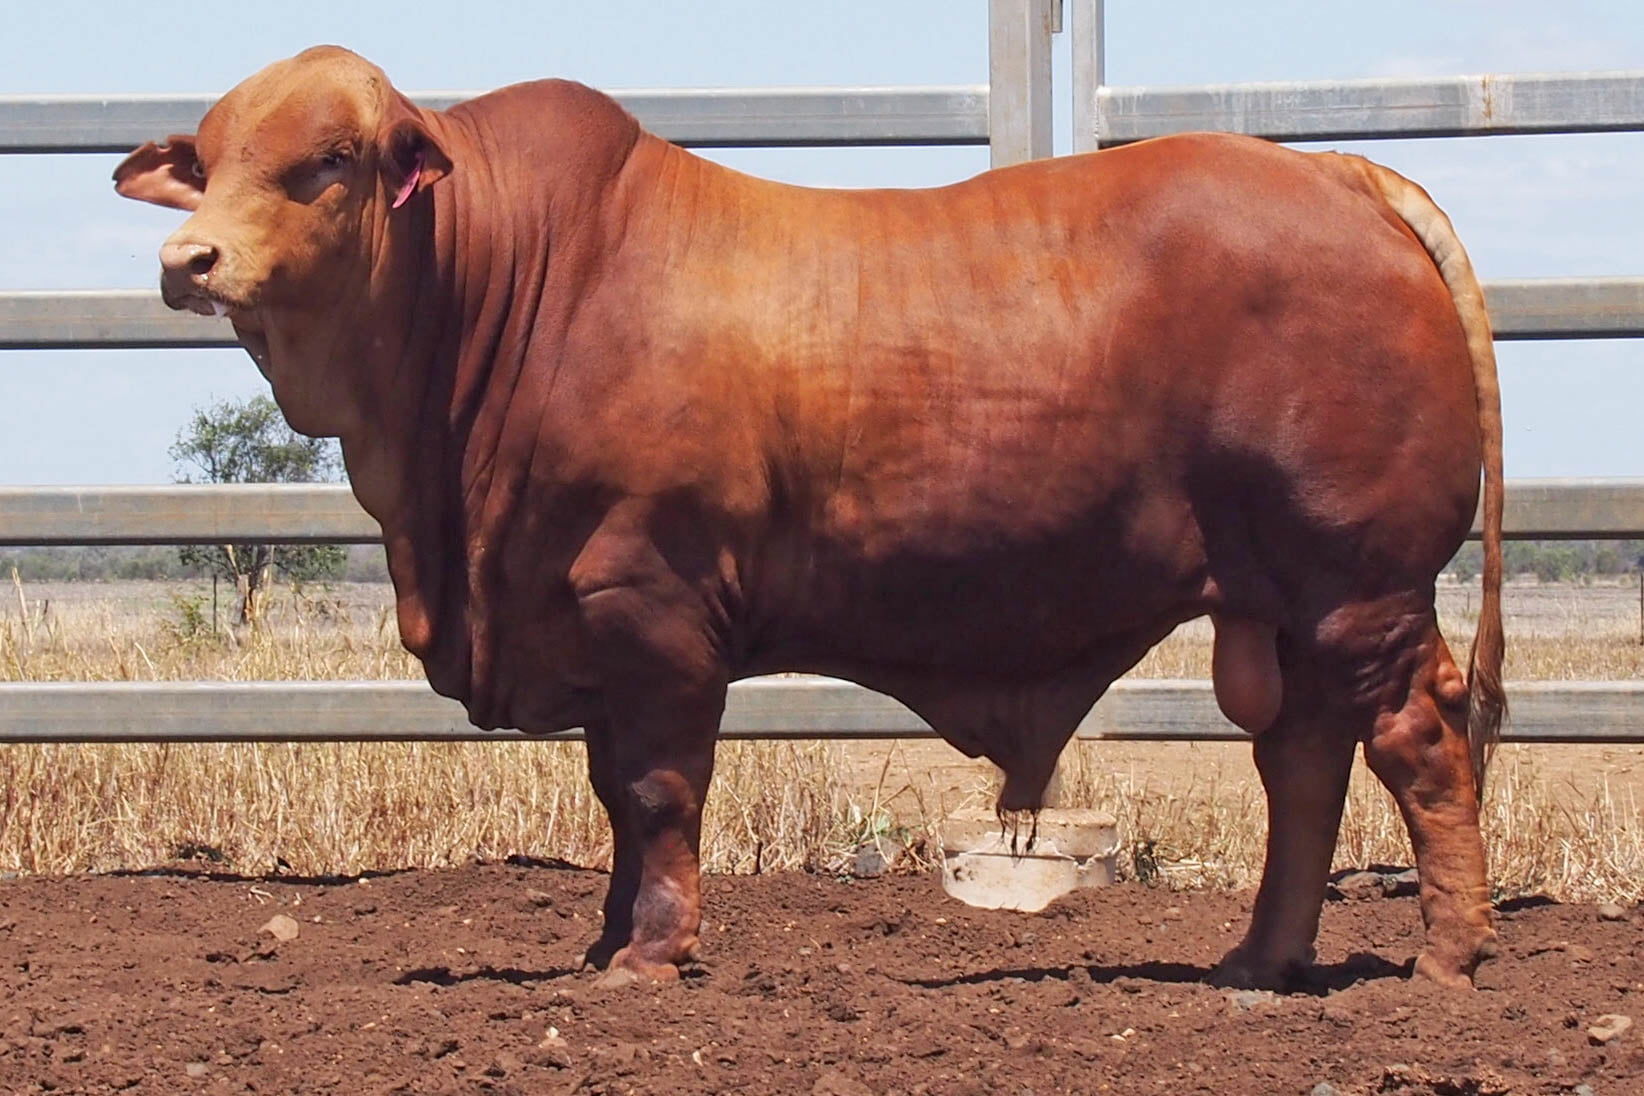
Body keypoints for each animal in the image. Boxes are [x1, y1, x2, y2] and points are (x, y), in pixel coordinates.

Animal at [114, 46, 1505, 991]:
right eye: (211, 162)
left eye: (331, 160)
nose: (188, 263)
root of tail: (1334, 171)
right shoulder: (585, 625)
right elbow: (611, 796)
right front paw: (607, 941)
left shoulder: (652, 606)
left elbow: (660, 789)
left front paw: (651, 958)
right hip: (1284, 601)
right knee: (1305, 759)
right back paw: (1257, 964)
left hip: (1360, 581)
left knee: (1419, 738)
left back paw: (1447, 957)